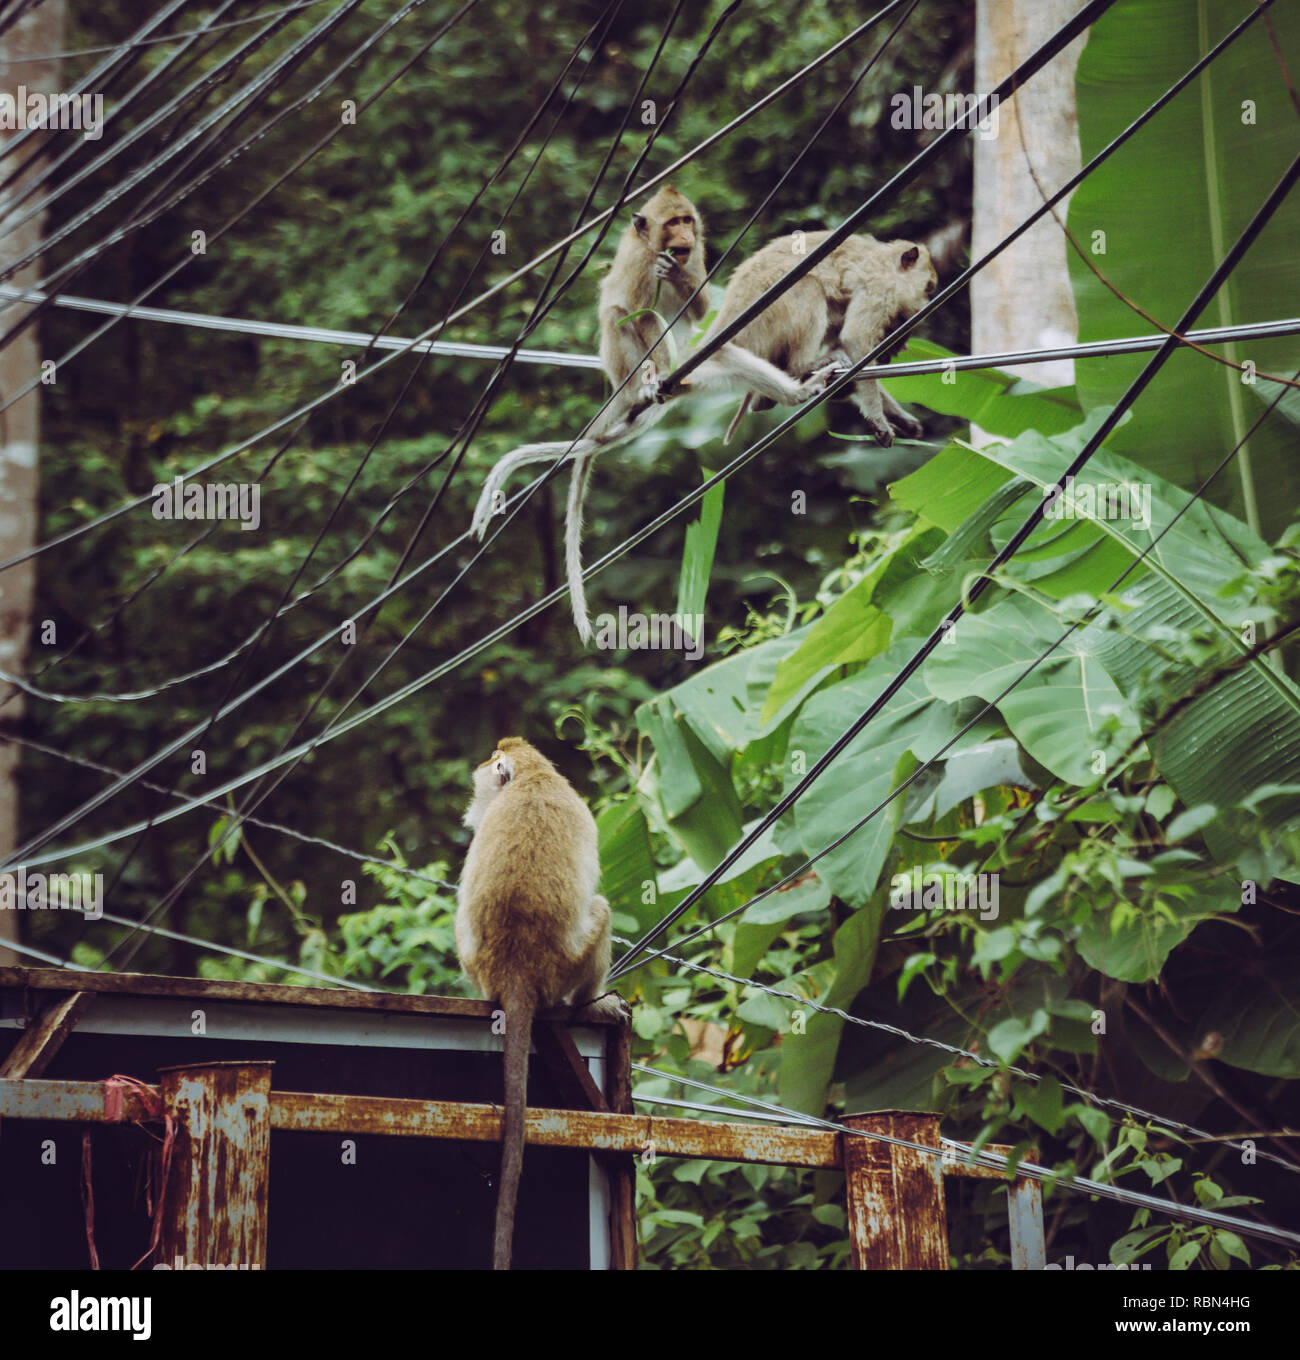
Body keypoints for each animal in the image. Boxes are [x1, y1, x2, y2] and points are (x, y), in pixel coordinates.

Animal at [713, 231, 937, 447]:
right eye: (928, 288)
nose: (926, 302)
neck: (888, 264)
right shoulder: (880, 287)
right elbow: (855, 339)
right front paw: (877, 418)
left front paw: (902, 418)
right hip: (763, 326)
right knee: (809, 286)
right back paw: (802, 366)